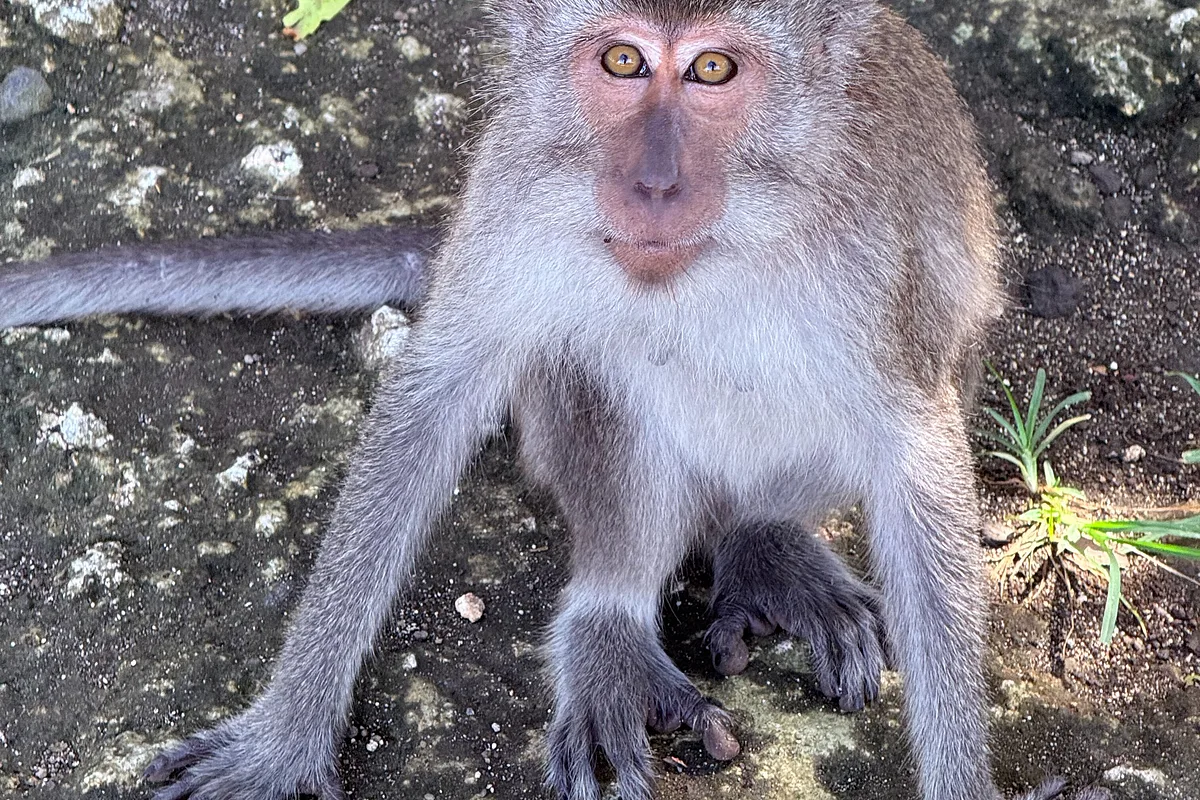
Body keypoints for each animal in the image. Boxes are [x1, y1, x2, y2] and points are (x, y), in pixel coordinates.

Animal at [0, 1, 1110, 799]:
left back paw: (763, 537)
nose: (652, 184)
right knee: (589, 371)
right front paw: (281, 740)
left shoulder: (873, 264)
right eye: (621, 62)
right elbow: (442, 387)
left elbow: (913, 450)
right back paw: (617, 620)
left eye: (714, 70)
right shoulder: (512, 189)